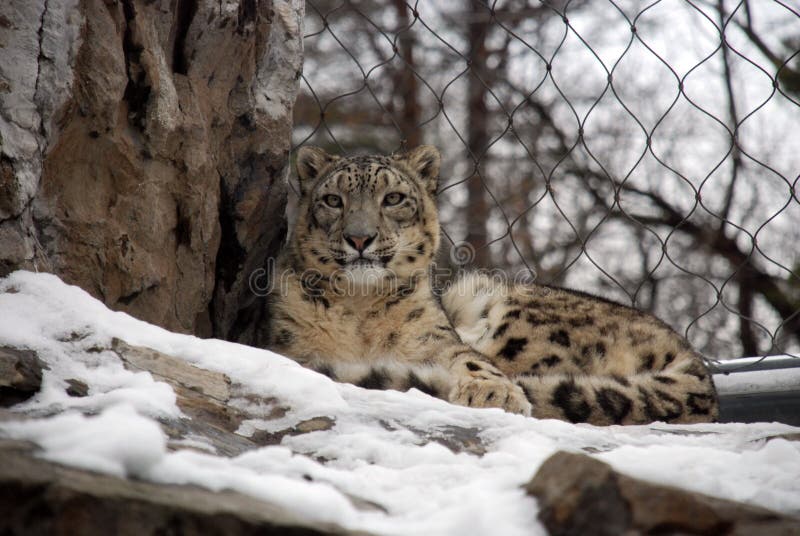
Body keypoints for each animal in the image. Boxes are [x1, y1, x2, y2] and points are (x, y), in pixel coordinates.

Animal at [268, 146, 720, 422]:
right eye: (333, 200)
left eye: (393, 198)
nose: (359, 238)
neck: (359, 310)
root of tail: (695, 362)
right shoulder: (288, 341)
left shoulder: (436, 339)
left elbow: (470, 361)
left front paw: (495, 394)